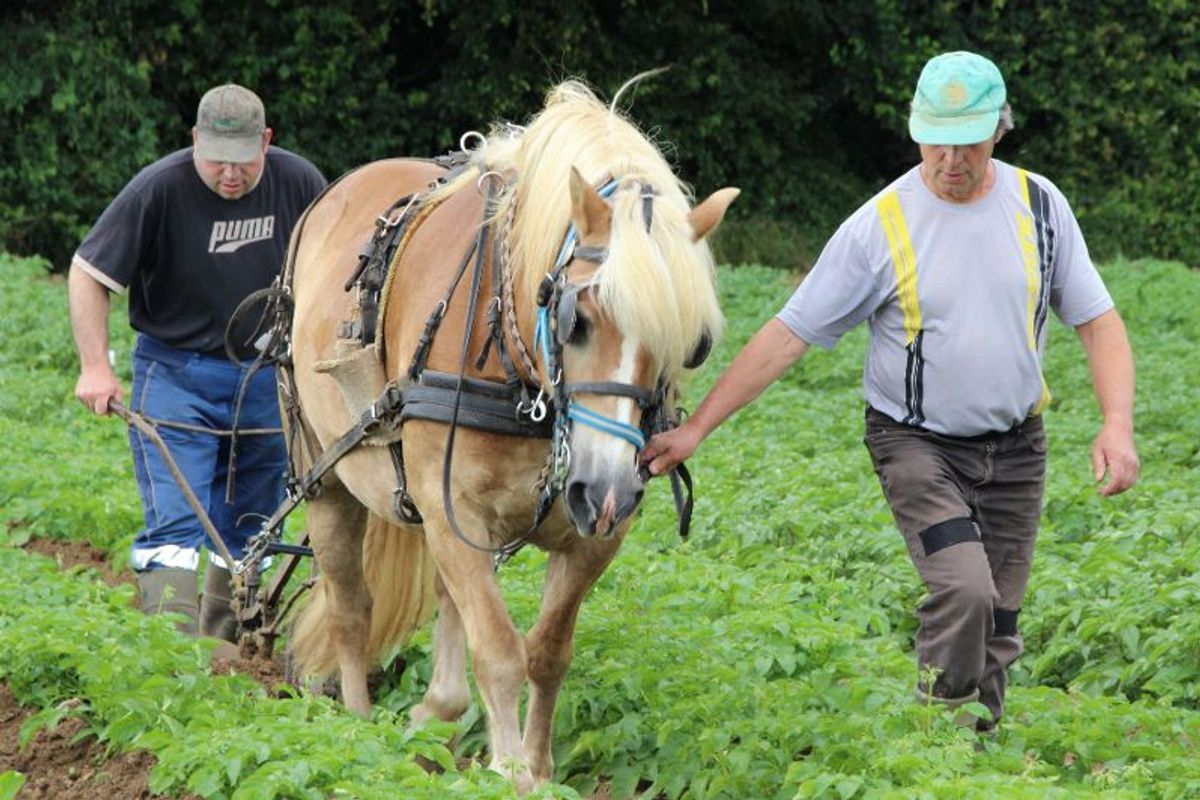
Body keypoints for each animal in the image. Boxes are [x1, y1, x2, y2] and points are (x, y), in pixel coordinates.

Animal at [284, 80, 738, 790]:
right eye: (579, 318)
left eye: (691, 344)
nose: (606, 493)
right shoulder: (451, 507)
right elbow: (499, 649)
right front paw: (504, 770)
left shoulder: (591, 540)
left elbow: (547, 652)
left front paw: (539, 770)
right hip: (327, 477)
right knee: (350, 609)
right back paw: (359, 731)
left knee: (444, 602)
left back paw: (431, 721)